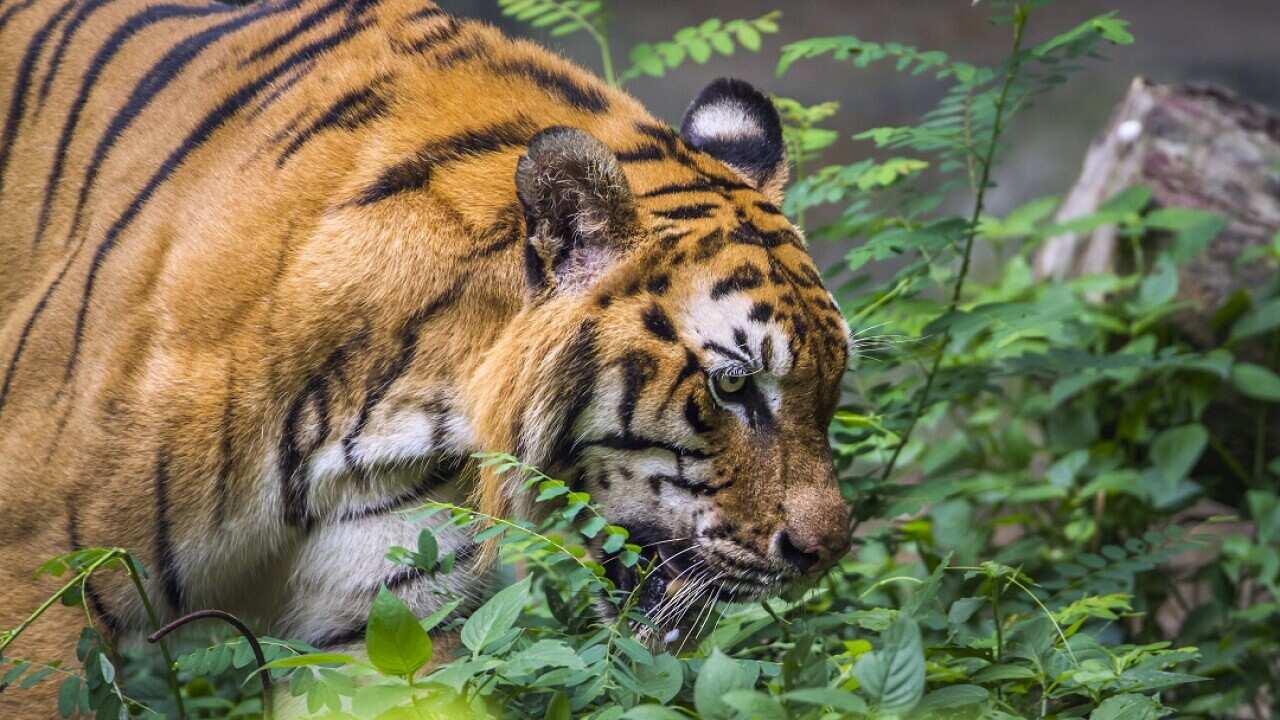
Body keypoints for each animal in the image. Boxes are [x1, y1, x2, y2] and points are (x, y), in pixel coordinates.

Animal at [0, 0, 854, 713]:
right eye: (734, 385)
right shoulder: (35, 591)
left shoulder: (377, 614)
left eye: (833, 388)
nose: (824, 553)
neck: (396, 400)